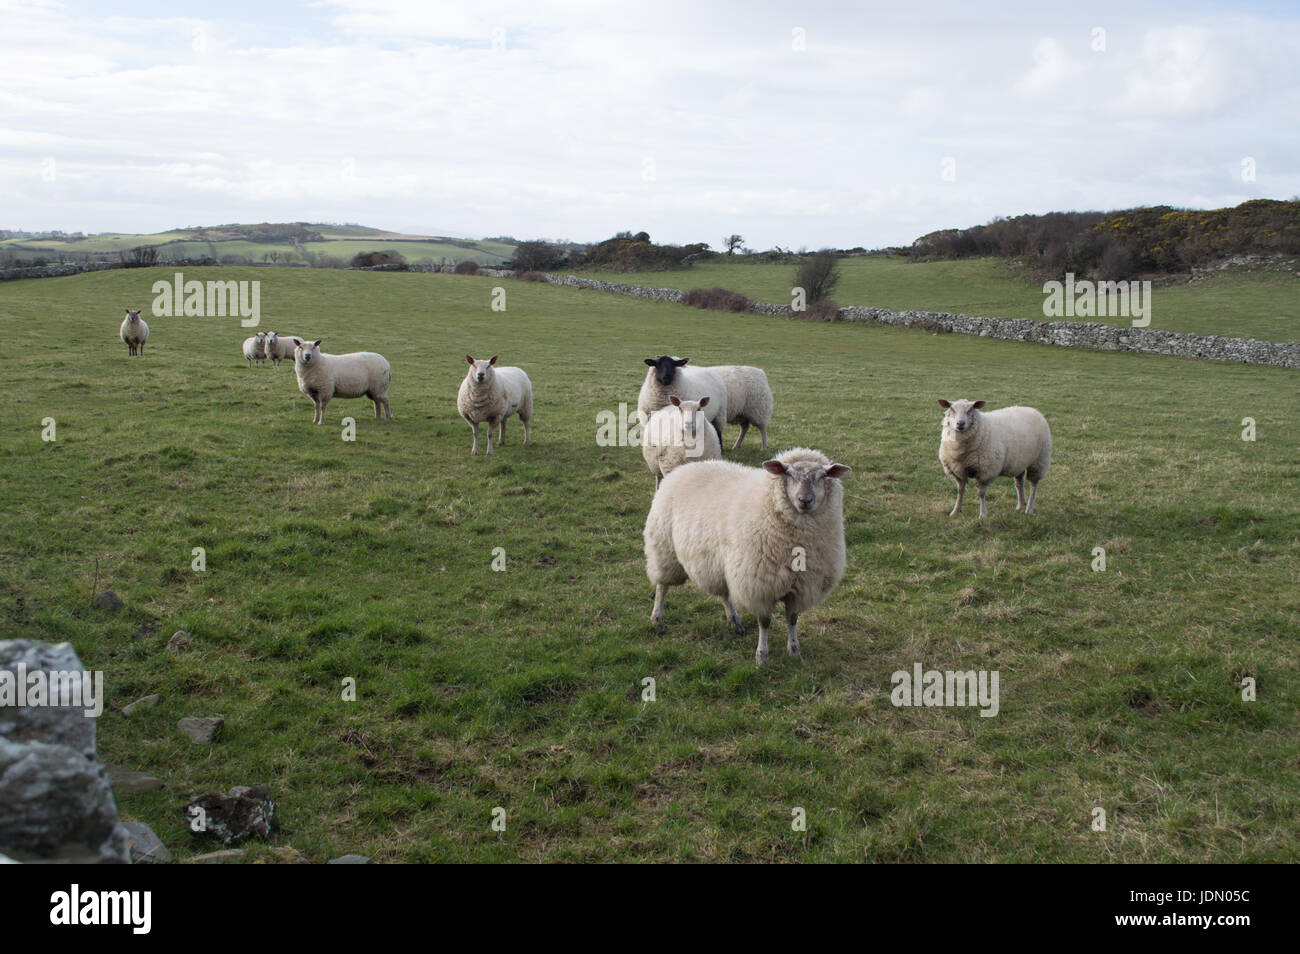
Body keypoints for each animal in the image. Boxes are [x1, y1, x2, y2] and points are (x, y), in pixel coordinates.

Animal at [644, 446, 851, 665]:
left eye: (823, 476)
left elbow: (792, 619)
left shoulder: (800, 587)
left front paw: (795, 651)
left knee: (725, 593)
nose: (805, 500)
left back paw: (734, 621)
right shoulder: (759, 585)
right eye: (788, 473)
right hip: (664, 549)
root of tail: (684, 468)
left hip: (718, 564)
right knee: (662, 586)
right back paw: (657, 618)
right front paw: (762, 656)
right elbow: (765, 622)